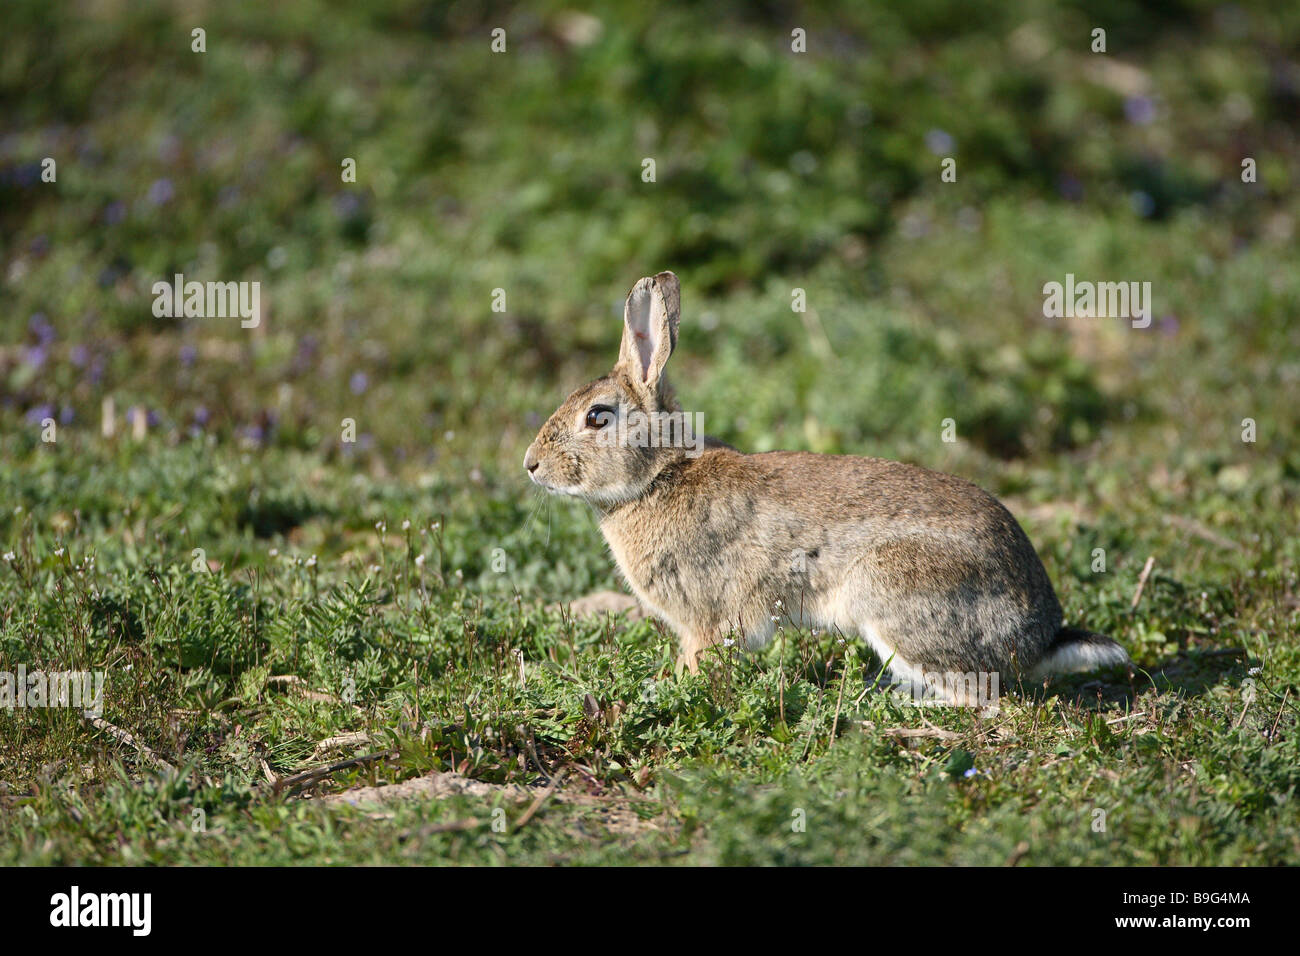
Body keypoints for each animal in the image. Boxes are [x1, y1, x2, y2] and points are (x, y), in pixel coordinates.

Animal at [523, 271, 1130, 703]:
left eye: (597, 417)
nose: (530, 465)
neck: (656, 478)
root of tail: (1040, 635)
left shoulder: (706, 616)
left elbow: (698, 659)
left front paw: (676, 689)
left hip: (889, 591)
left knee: (976, 695)